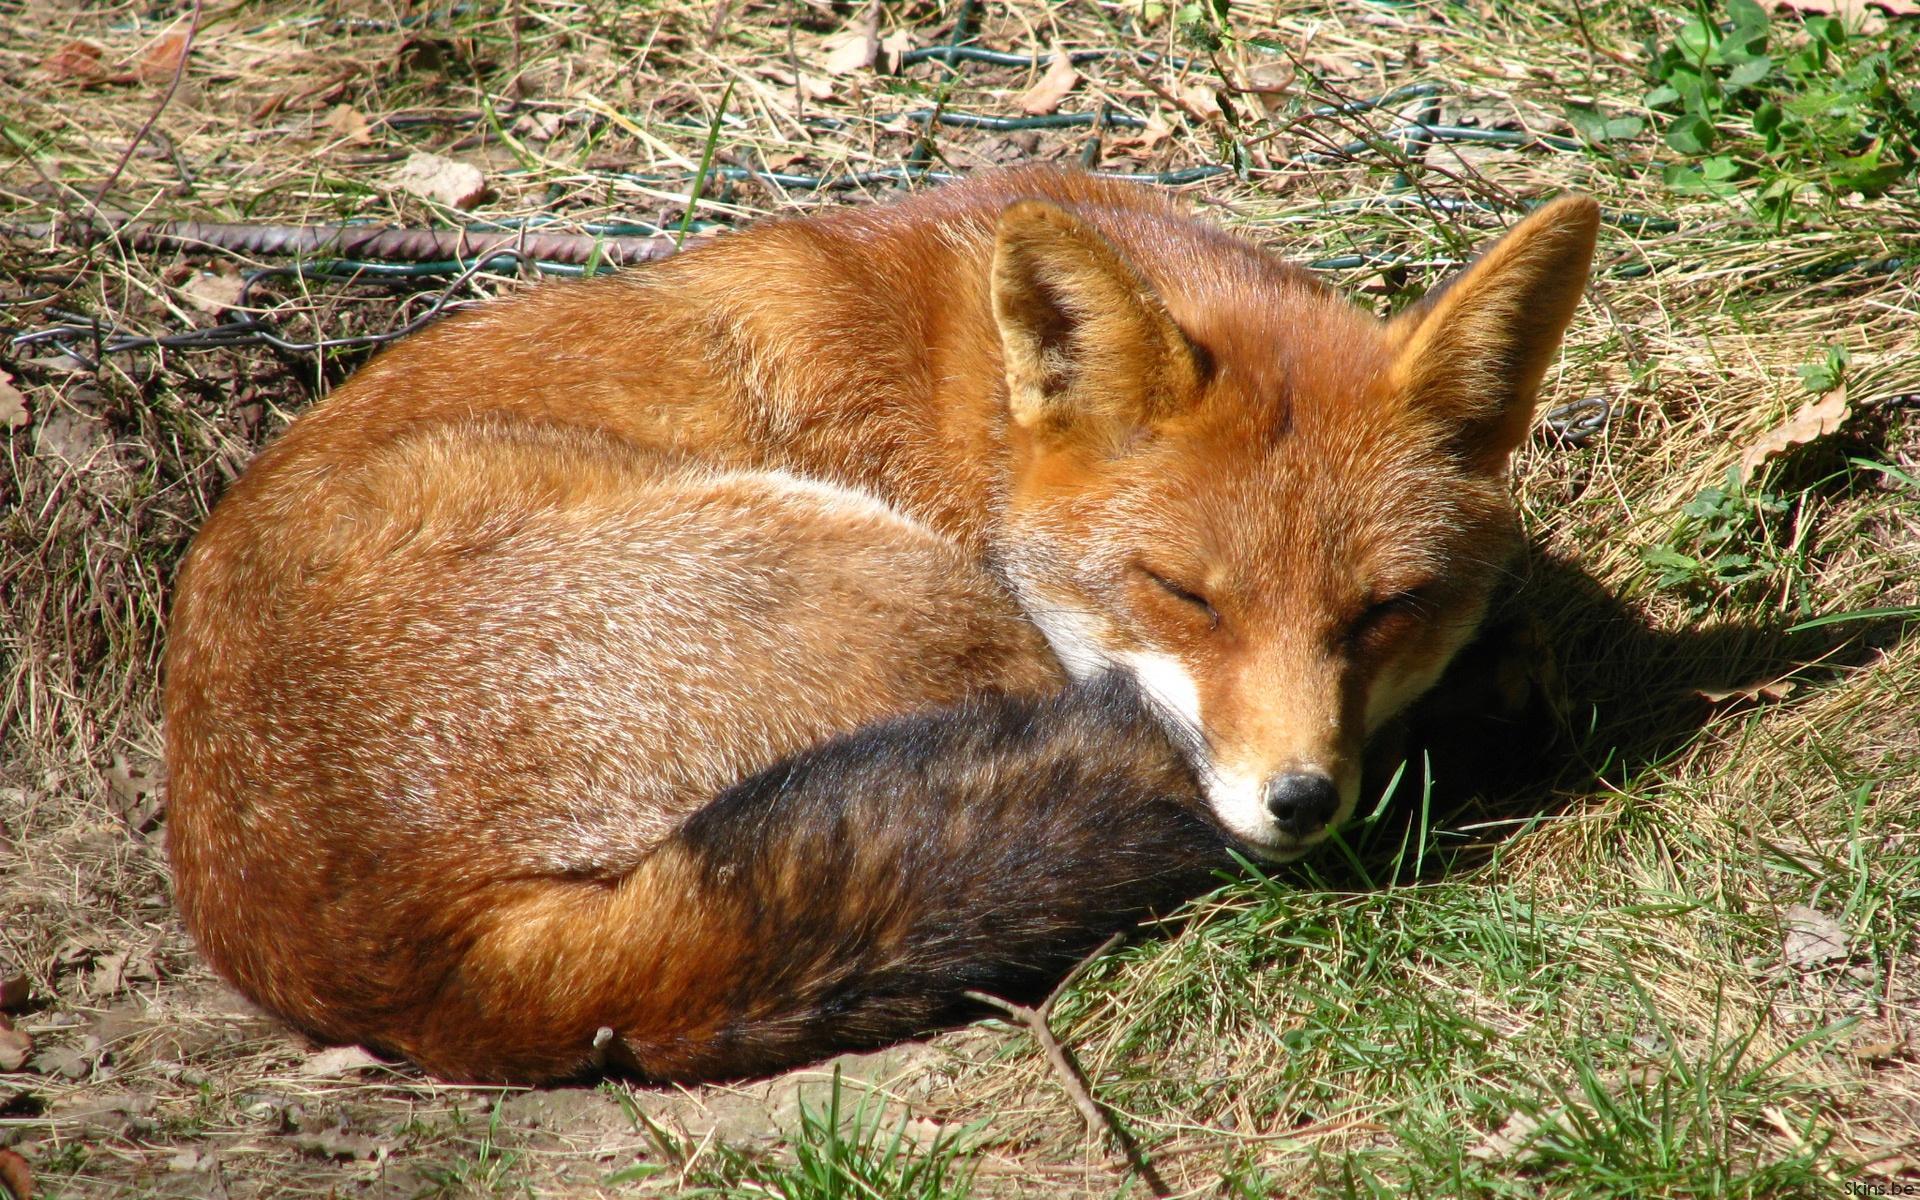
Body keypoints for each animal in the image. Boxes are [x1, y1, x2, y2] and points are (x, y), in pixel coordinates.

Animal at [164, 166, 1599, 1084]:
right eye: (1186, 595)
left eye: (1384, 611)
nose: (1300, 800)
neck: (971, 412)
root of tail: (419, 970)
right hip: (907, 592)